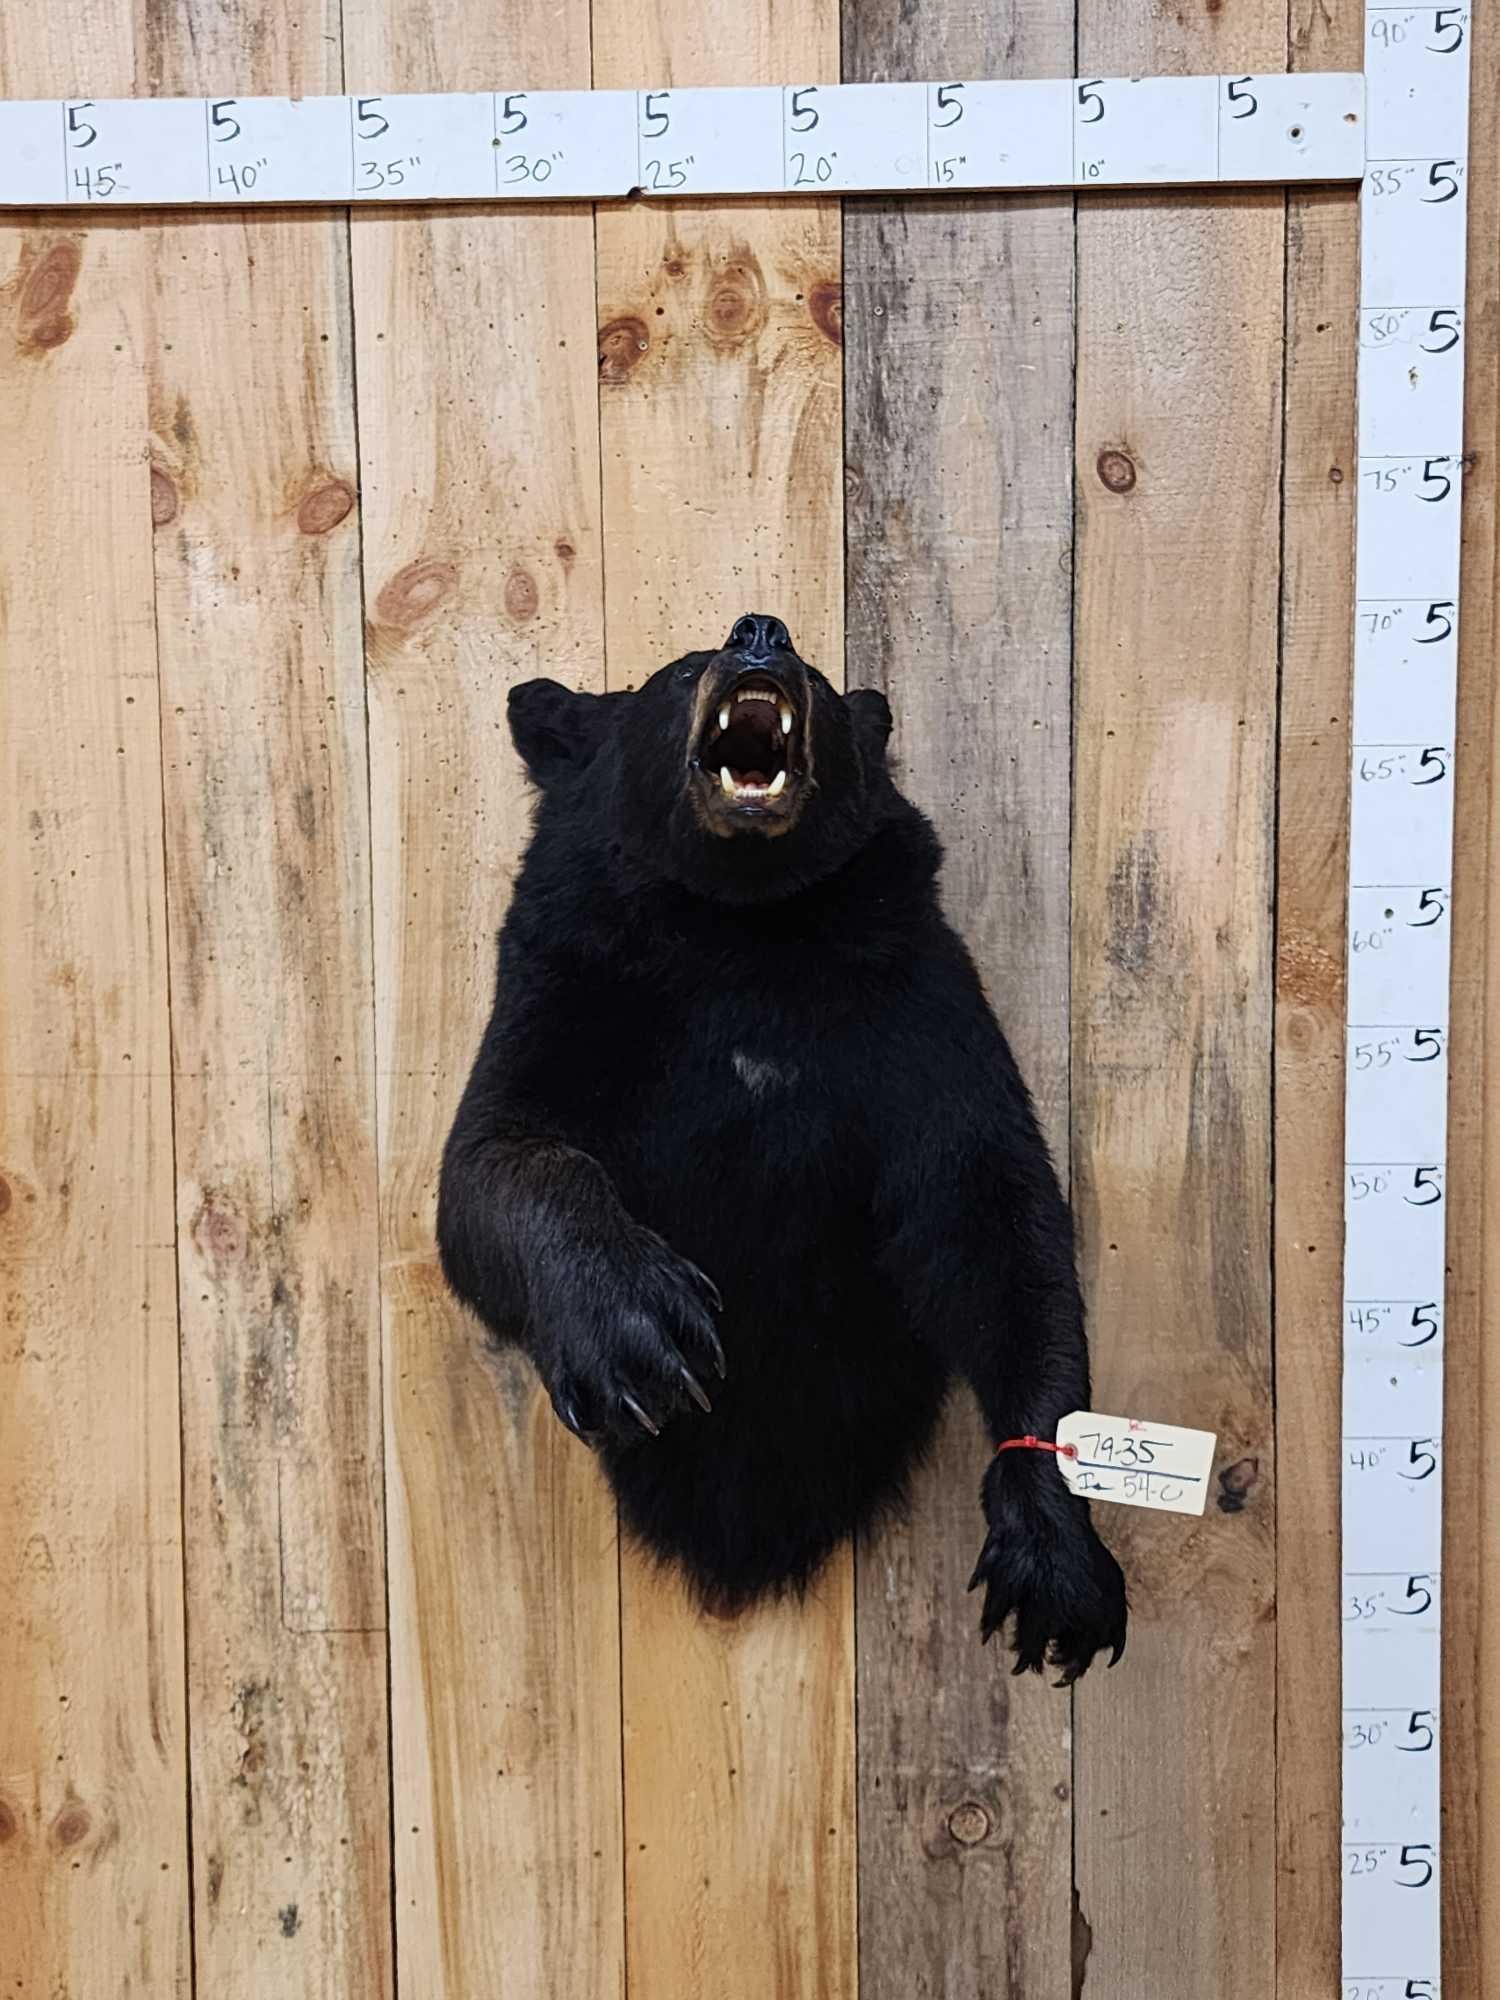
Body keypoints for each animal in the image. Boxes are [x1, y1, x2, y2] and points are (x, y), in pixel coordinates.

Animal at [437, 612, 1127, 1682]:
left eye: (819, 676)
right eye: (679, 669)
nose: (760, 632)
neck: (740, 928)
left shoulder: (918, 1007)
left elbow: (991, 1214)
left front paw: (1053, 1555)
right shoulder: (568, 983)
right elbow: (497, 1157)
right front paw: (639, 1329)